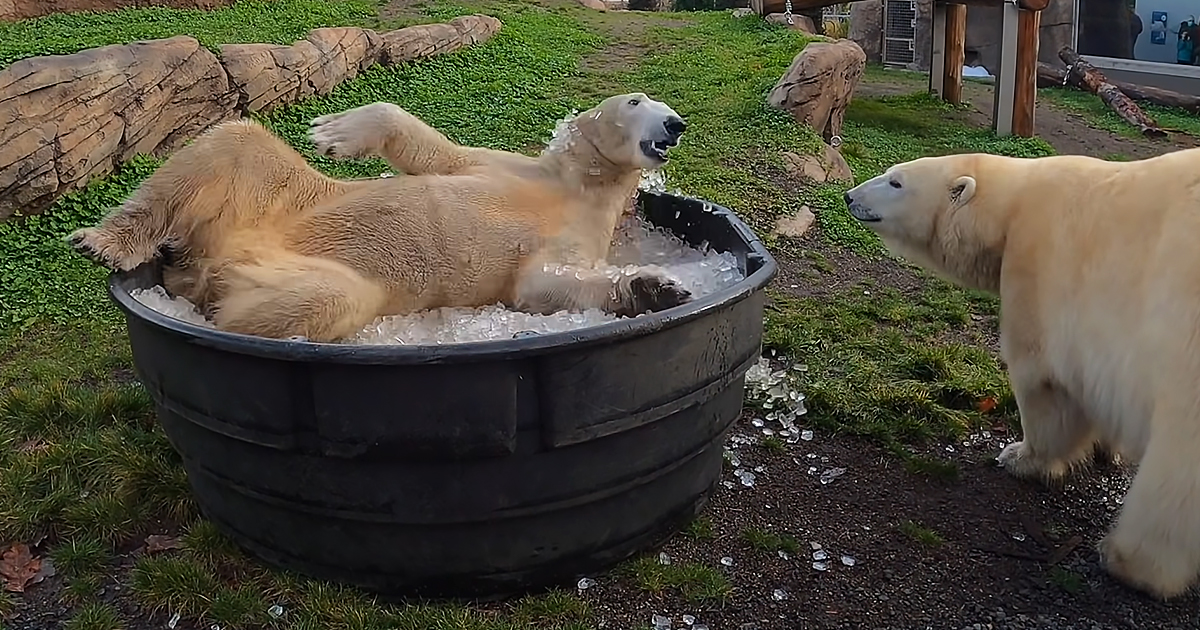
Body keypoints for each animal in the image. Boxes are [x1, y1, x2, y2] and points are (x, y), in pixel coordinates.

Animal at [66, 92, 693, 343]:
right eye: (638, 101)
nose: (676, 123)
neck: (578, 186)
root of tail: (206, 263)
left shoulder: (579, 234)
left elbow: (544, 284)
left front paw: (656, 288)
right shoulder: (502, 166)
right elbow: (435, 154)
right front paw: (332, 132)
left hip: (290, 264)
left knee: (325, 298)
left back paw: (209, 314)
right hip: (282, 201)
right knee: (237, 145)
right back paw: (106, 240)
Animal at [843, 149, 1200, 600]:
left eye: (896, 182)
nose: (850, 196)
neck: (1013, 203)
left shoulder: (1038, 268)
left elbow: (1044, 383)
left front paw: (1020, 456)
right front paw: (1107, 447)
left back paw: (1130, 560)